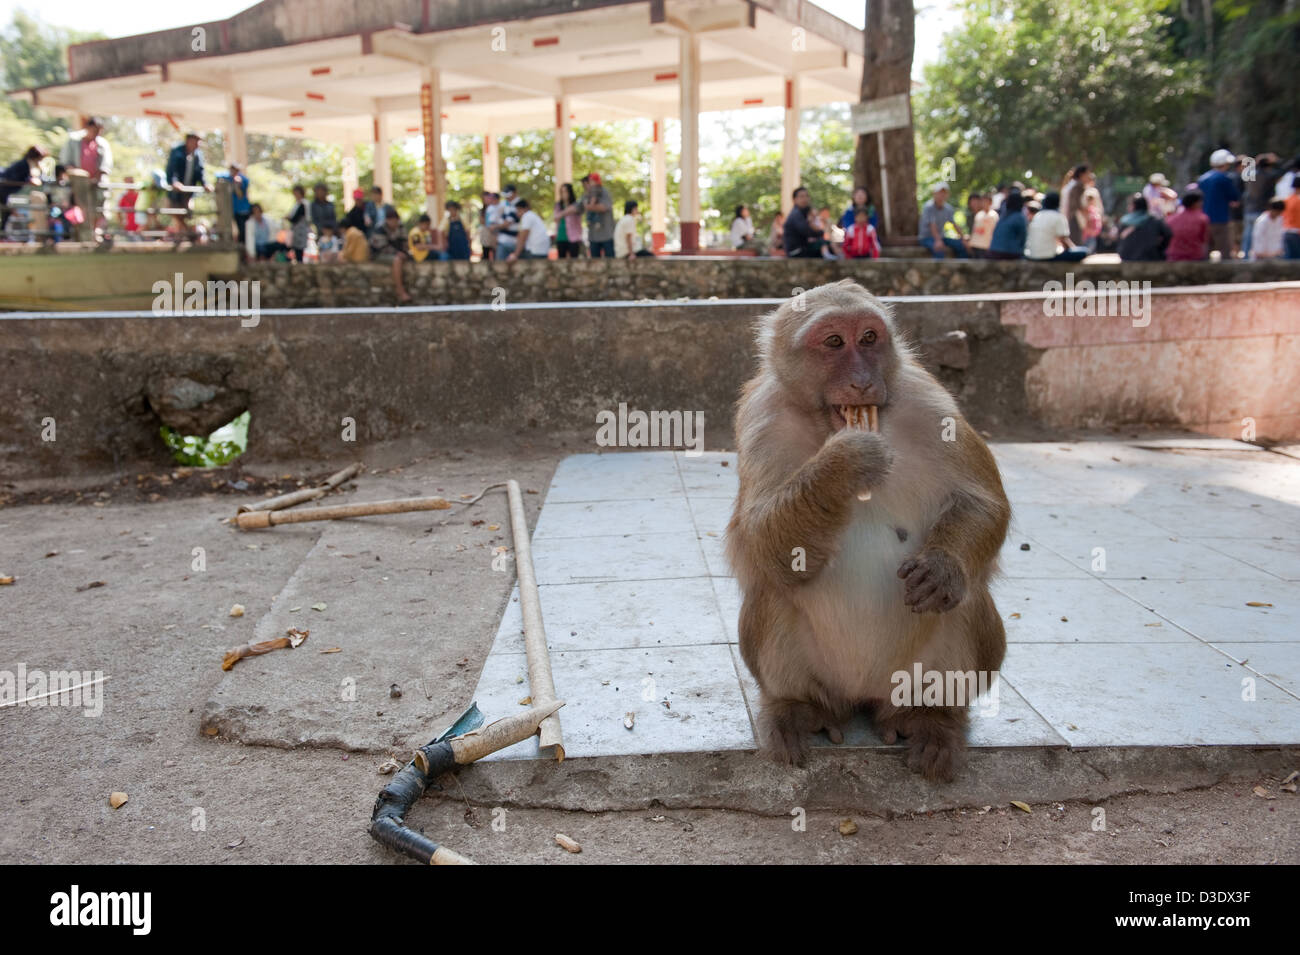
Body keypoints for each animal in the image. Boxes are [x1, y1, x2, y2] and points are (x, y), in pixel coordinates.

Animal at [725, 278, 1010, 782]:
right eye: (835, 342)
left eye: (870, 338)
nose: (862, 381)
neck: (826, 421)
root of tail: (863, 695)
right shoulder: (762, 418)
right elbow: (763, 544)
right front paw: (843, 464)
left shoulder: (928, 398)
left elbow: (983, 502)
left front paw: (942, 567)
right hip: (828, 679)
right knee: (771, 591)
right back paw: (800, 710)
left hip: (907, 679)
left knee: (967, 597)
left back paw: (931, 718)